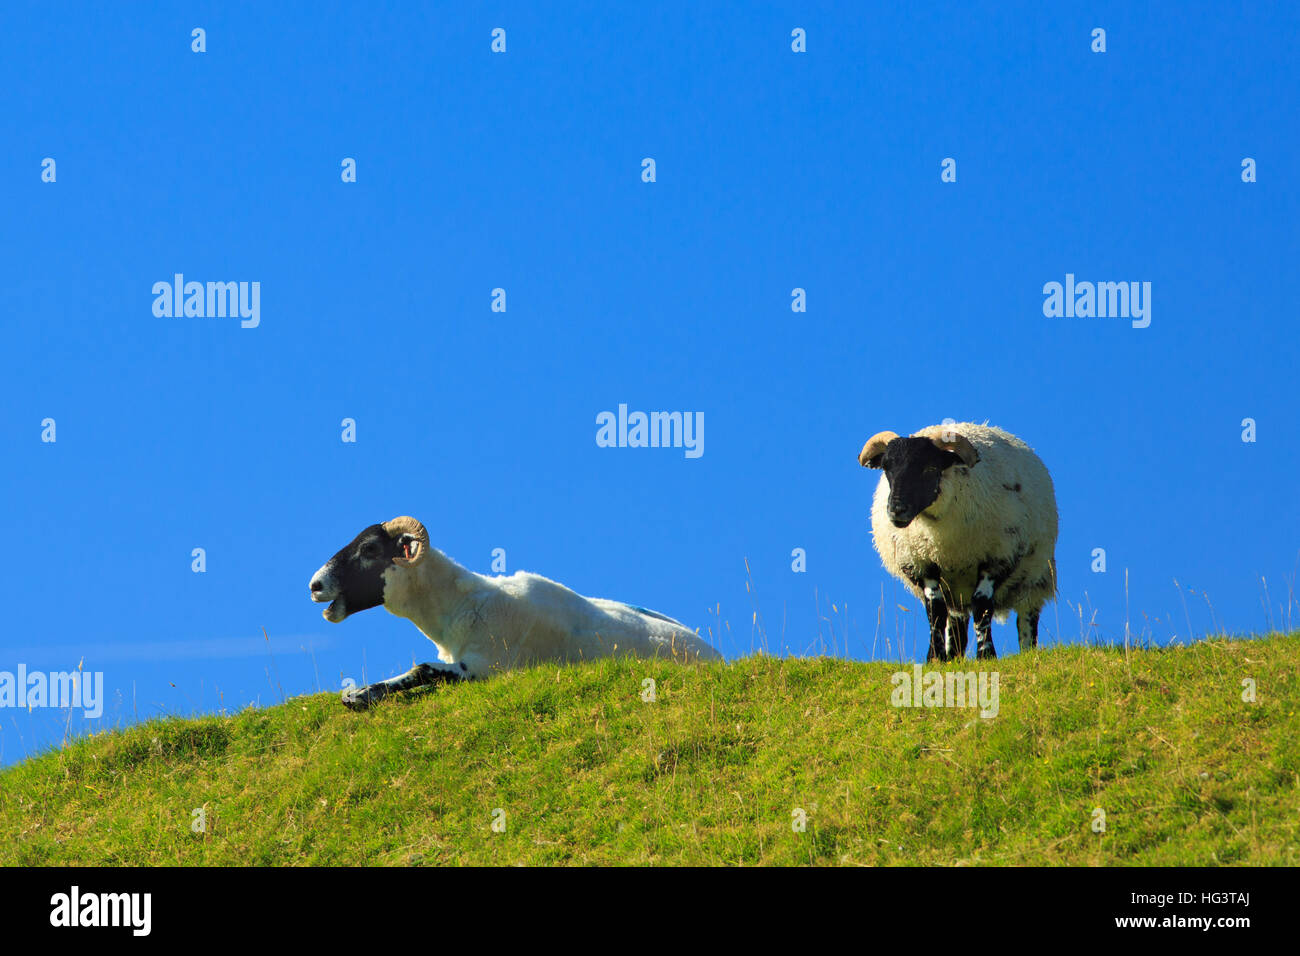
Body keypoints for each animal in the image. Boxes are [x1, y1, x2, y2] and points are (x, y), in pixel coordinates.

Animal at [309, 516, 721, 708]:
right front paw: (358, 693)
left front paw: (362, 697)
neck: (462, 605)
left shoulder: (487, 667)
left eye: (370, 549)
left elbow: (422, 669)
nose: (314, 585)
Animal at [857, 423, 1058, 662]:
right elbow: (935, 610)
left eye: (930, 468)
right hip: (956, 589)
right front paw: (935, 657)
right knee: (955, 625)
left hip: (1034, 577)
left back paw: (1028, 652)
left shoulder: (996, 557)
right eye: (887, 468)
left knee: (1026, 618)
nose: (896, 510)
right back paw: (953, 656)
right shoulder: (924, 563)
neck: (940, 538)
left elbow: (982, 606)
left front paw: (986, 654)